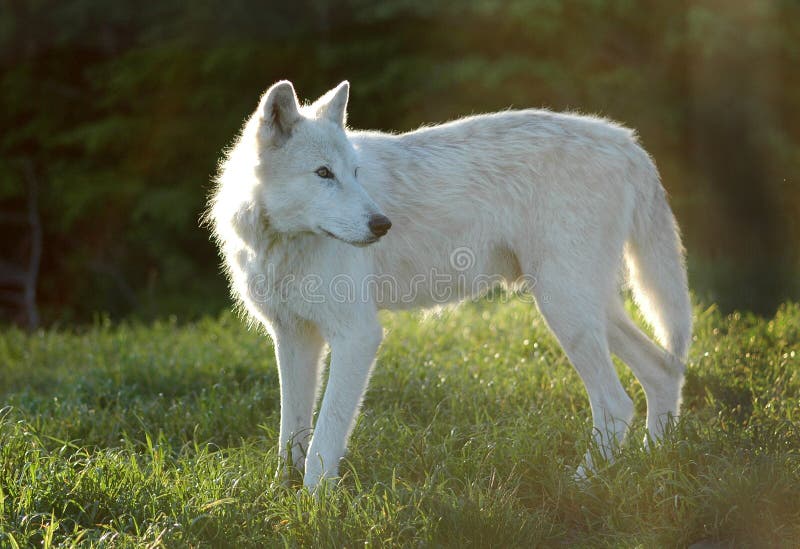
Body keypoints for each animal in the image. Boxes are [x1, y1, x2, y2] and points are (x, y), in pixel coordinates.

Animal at [206, 80, 692, 489]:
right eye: (323, 173)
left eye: (356, 172)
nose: (382, 224)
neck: (280, 243)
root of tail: (627, 142)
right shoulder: (293, 338)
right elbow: (291, 435)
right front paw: (280, 498)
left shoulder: (358, 337)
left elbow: (323, 441)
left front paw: (314, 510)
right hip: (586, 309)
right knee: (664, 370)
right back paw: (656, 464)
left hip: (564, 310)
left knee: (617, 404)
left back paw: (579, 486)